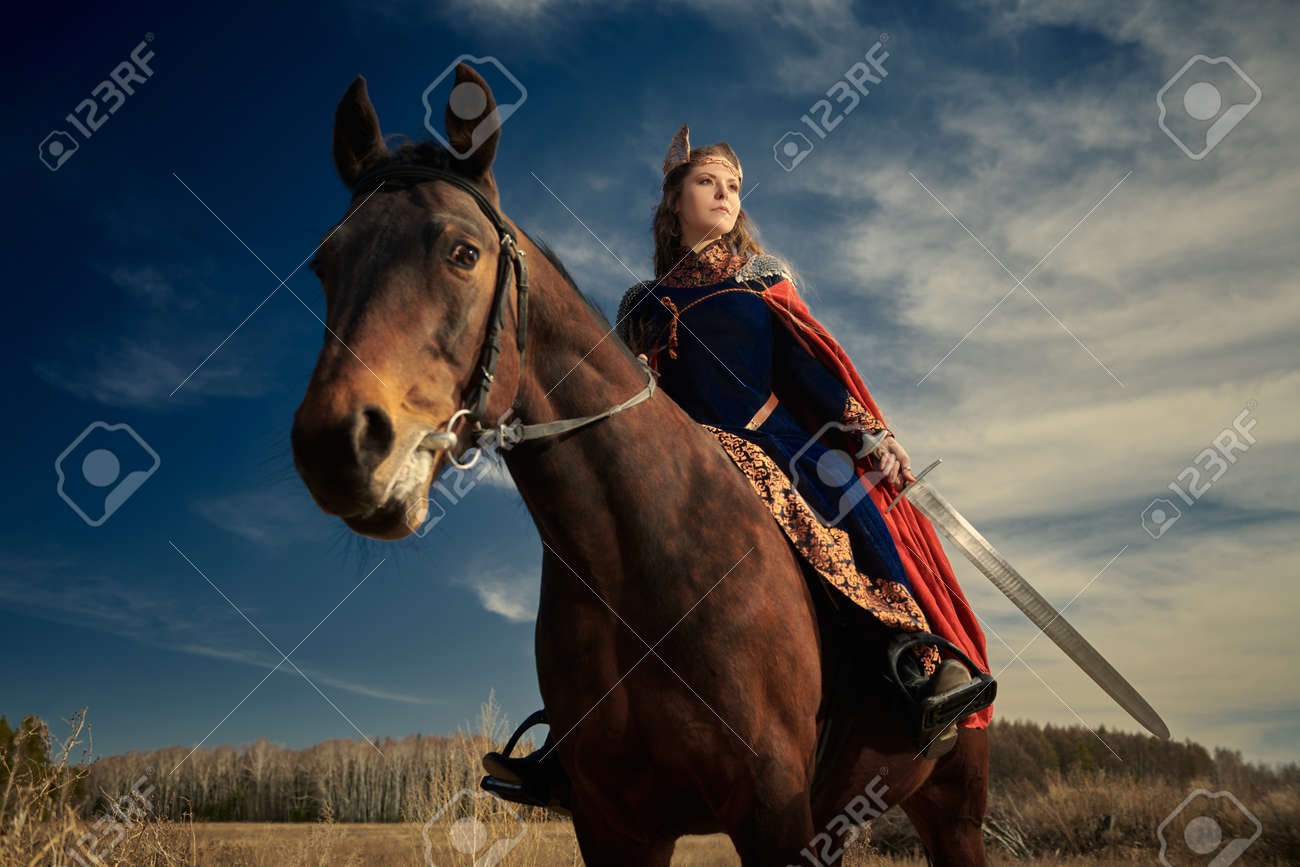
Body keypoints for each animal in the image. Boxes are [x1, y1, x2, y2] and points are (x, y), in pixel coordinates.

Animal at [290, 64, 990, 866]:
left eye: (463, 252)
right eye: (324, 264)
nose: (340, 446)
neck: (635, 562)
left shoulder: (773, 809)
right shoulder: (614, 822)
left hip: (951, 808)